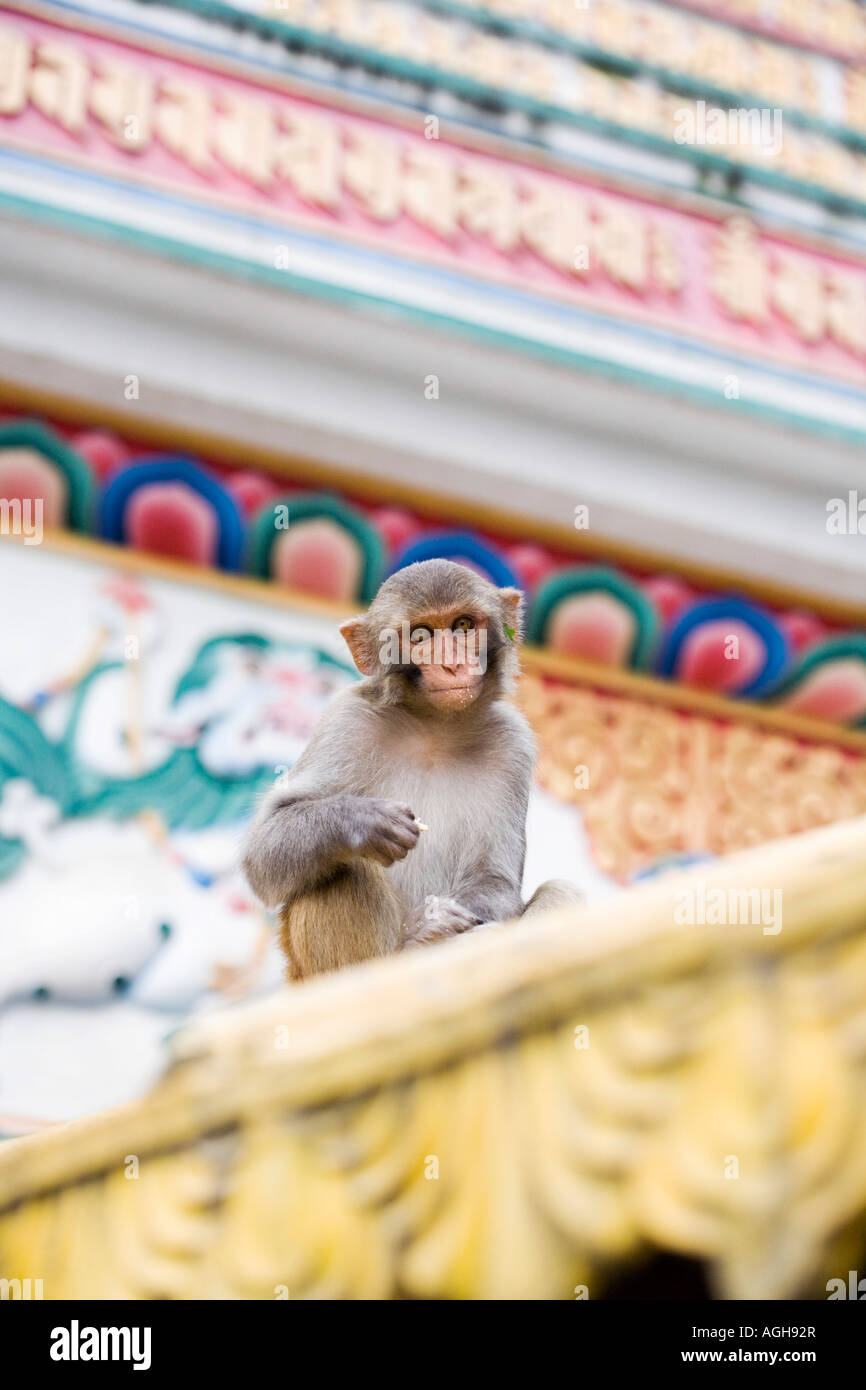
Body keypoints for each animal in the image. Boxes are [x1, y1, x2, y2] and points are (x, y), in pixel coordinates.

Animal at [242, 559, 582, 979]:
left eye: (463, 625)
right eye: (420, 635)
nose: (452, 664)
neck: (435, 727)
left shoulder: (513, 742)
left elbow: (494, 879)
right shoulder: (347, 718)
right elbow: (264, 848)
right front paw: (361, 821)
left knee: (562, 891)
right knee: (344, 867)